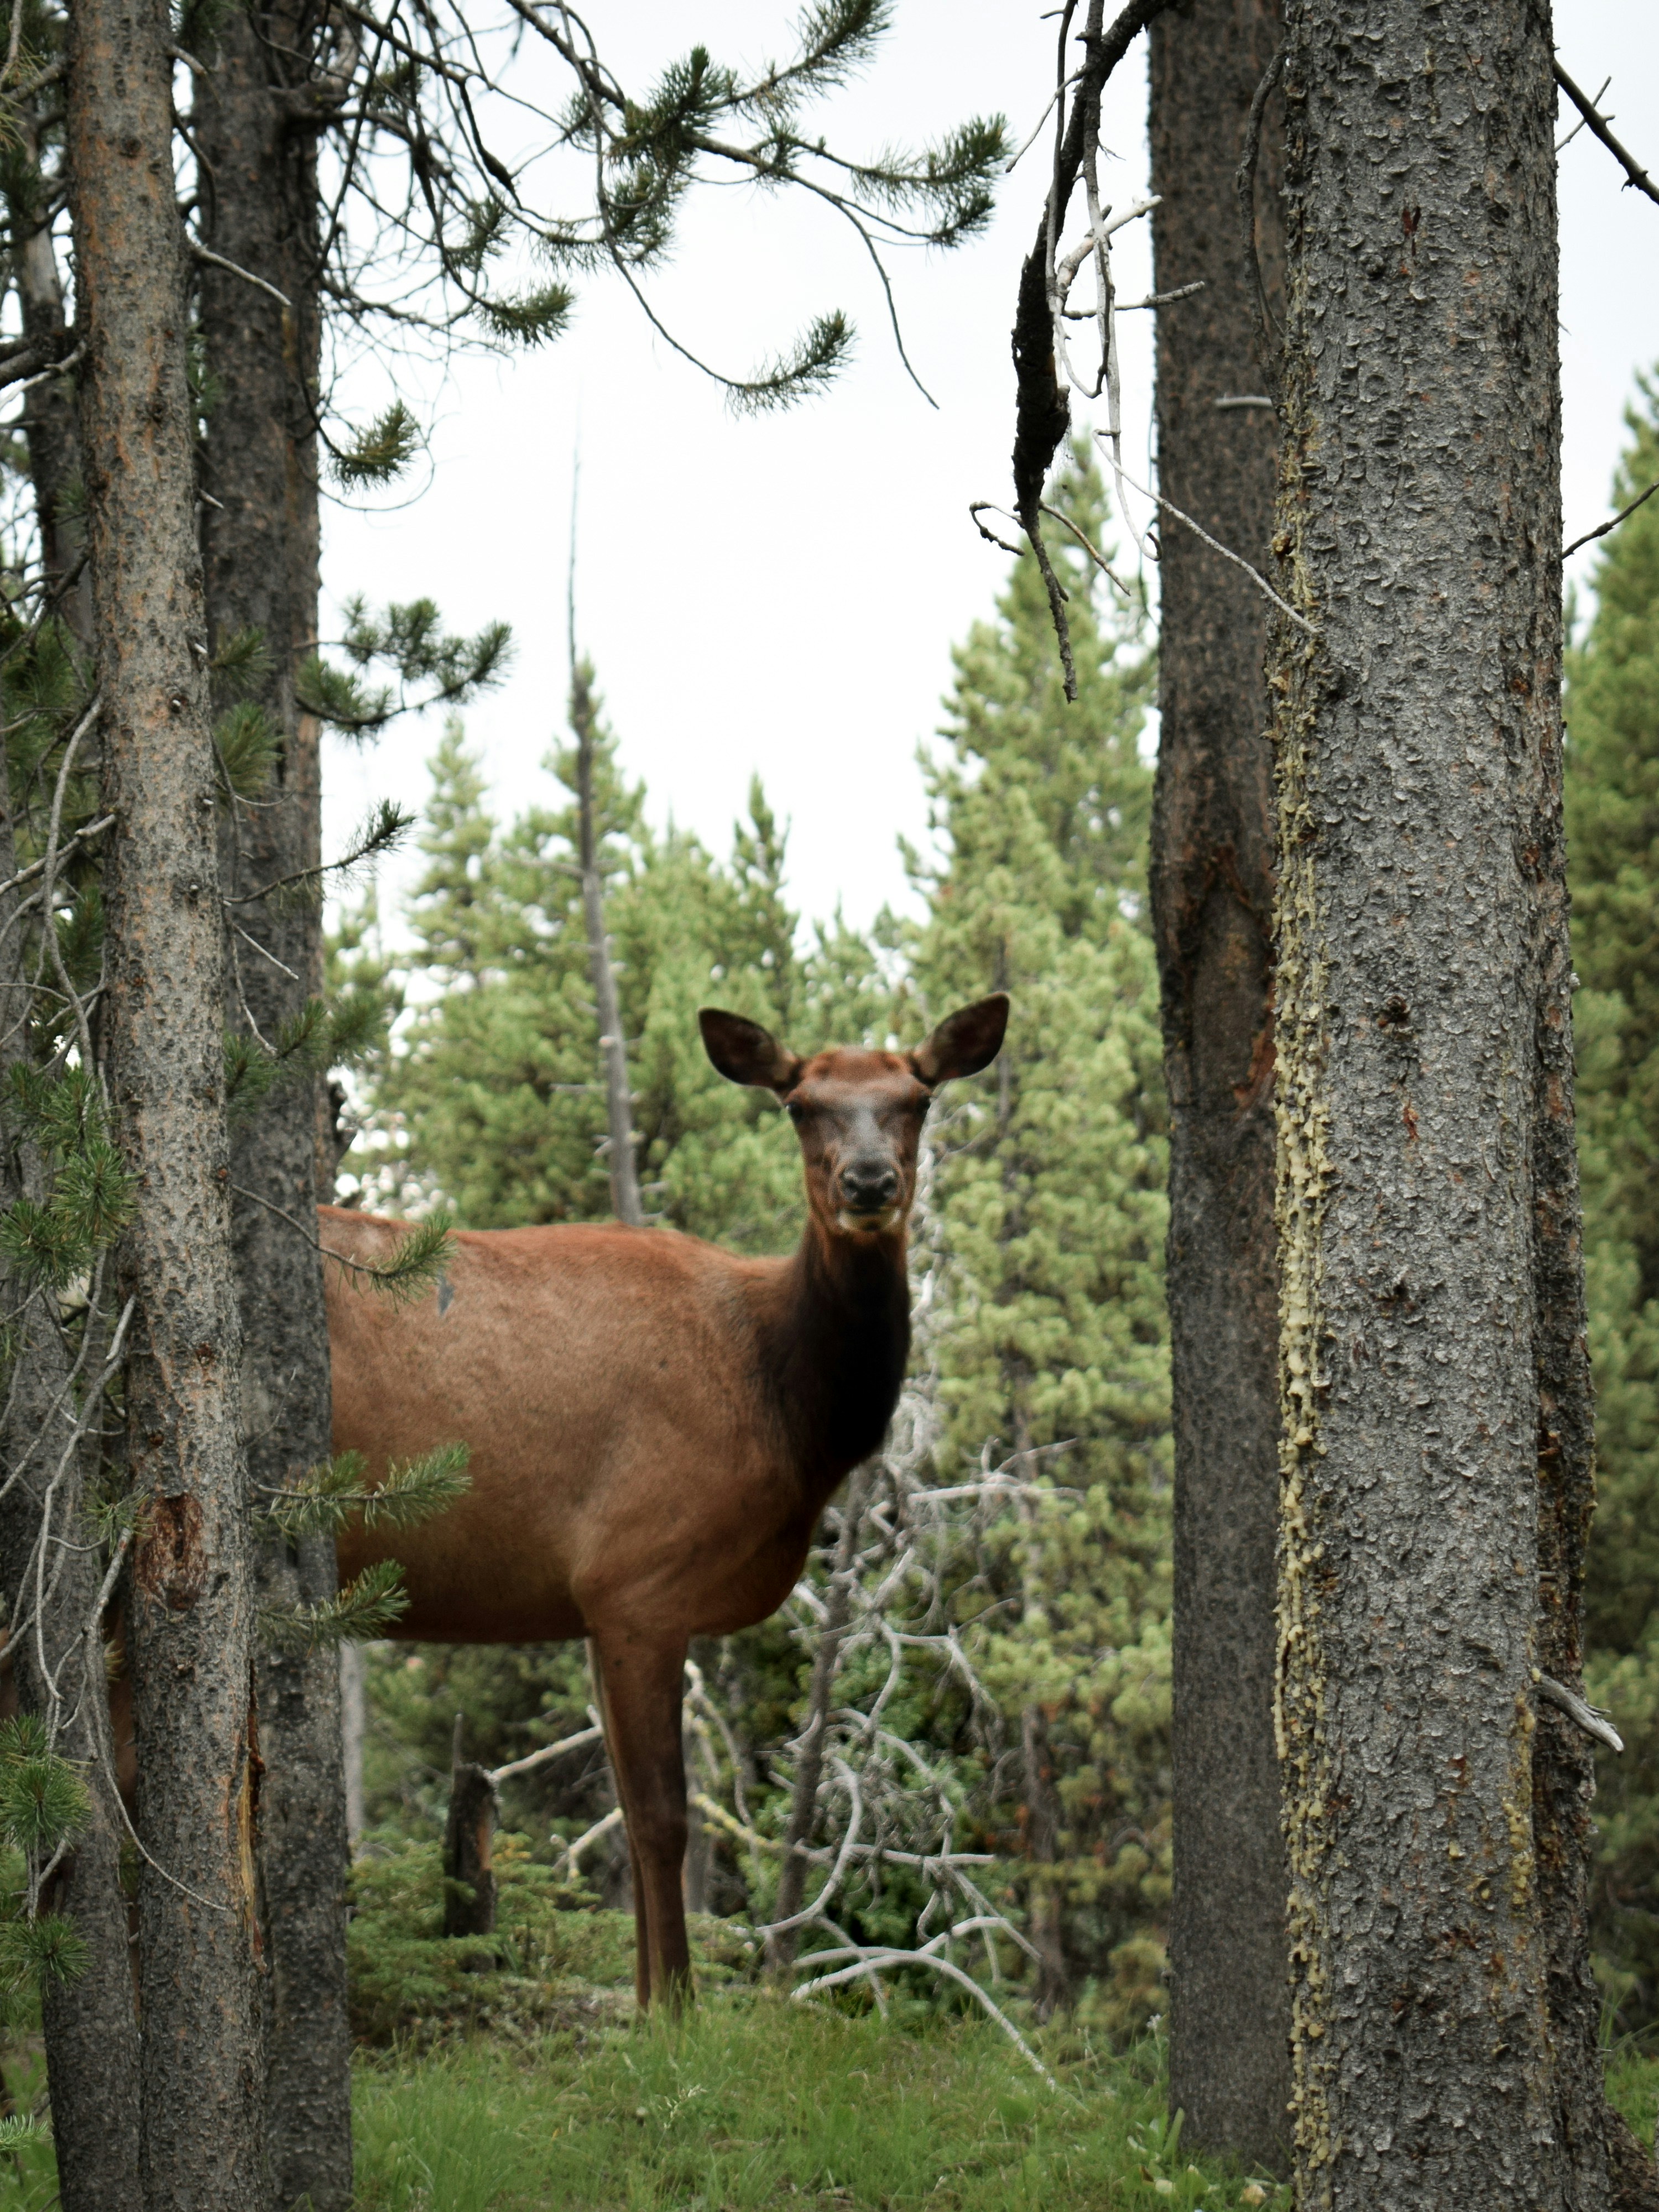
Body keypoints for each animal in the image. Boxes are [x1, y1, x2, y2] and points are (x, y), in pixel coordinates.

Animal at [324, 993, 1009, 2007]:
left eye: (918, 1098)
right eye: (801, 1105)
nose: (869, 1182)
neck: (787, 1407)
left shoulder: (599, 1604)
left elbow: (628, 1803)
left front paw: (649, 2001)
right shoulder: (637, 1578)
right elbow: (660, 1819)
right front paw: (675, 2010)